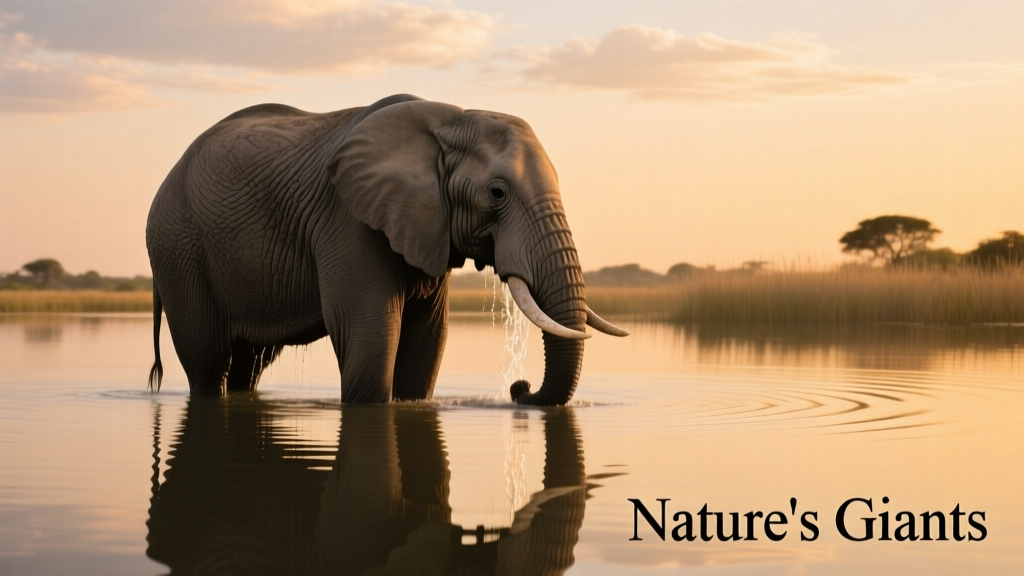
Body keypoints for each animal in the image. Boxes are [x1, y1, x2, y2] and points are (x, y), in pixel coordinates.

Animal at [146, 94, 627, 405]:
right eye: (497, 193)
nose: (519, 389)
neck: (449, 120)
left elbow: (427, 345)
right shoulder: (349, 222)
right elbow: (371, 339)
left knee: (248, 364)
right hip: (179, 248)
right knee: (208, 363)